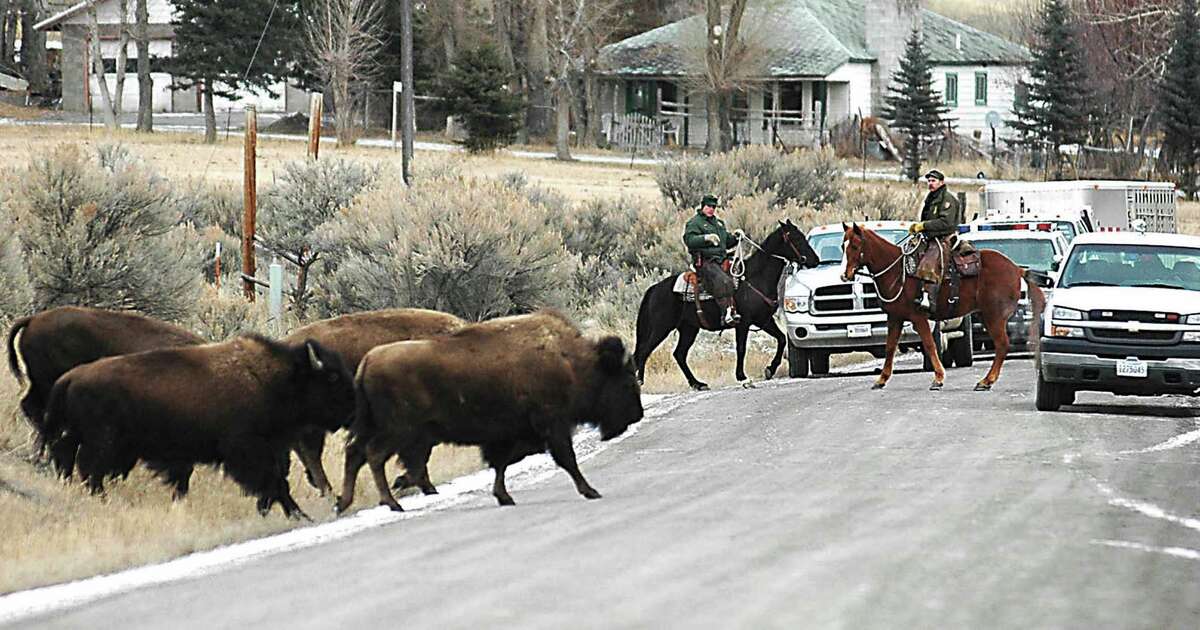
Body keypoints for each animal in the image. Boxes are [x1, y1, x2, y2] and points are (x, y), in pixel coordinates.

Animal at [43, 335, 354, 518]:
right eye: (332, 377)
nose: (352, 411)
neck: (277, 379)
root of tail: (70, 378)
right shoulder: (248, 452)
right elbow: (276, 483)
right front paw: (299, 515)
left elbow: (276, 482)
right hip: (103, 444)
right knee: (89, 470)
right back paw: (103, 500)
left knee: (69, 462)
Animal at [336, 311, 643, 513]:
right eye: (627, 381)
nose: (637, 415)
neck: (569, 362)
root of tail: (368, 361)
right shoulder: (553, 426)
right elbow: (567, 460)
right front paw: (591, 491)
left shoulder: (509, 436)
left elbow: (501, 464)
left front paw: (503, 497)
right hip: (397, 431)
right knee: (373, 456)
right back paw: (392, 503)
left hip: (380, 429)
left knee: (356, 454)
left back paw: (346, 502)